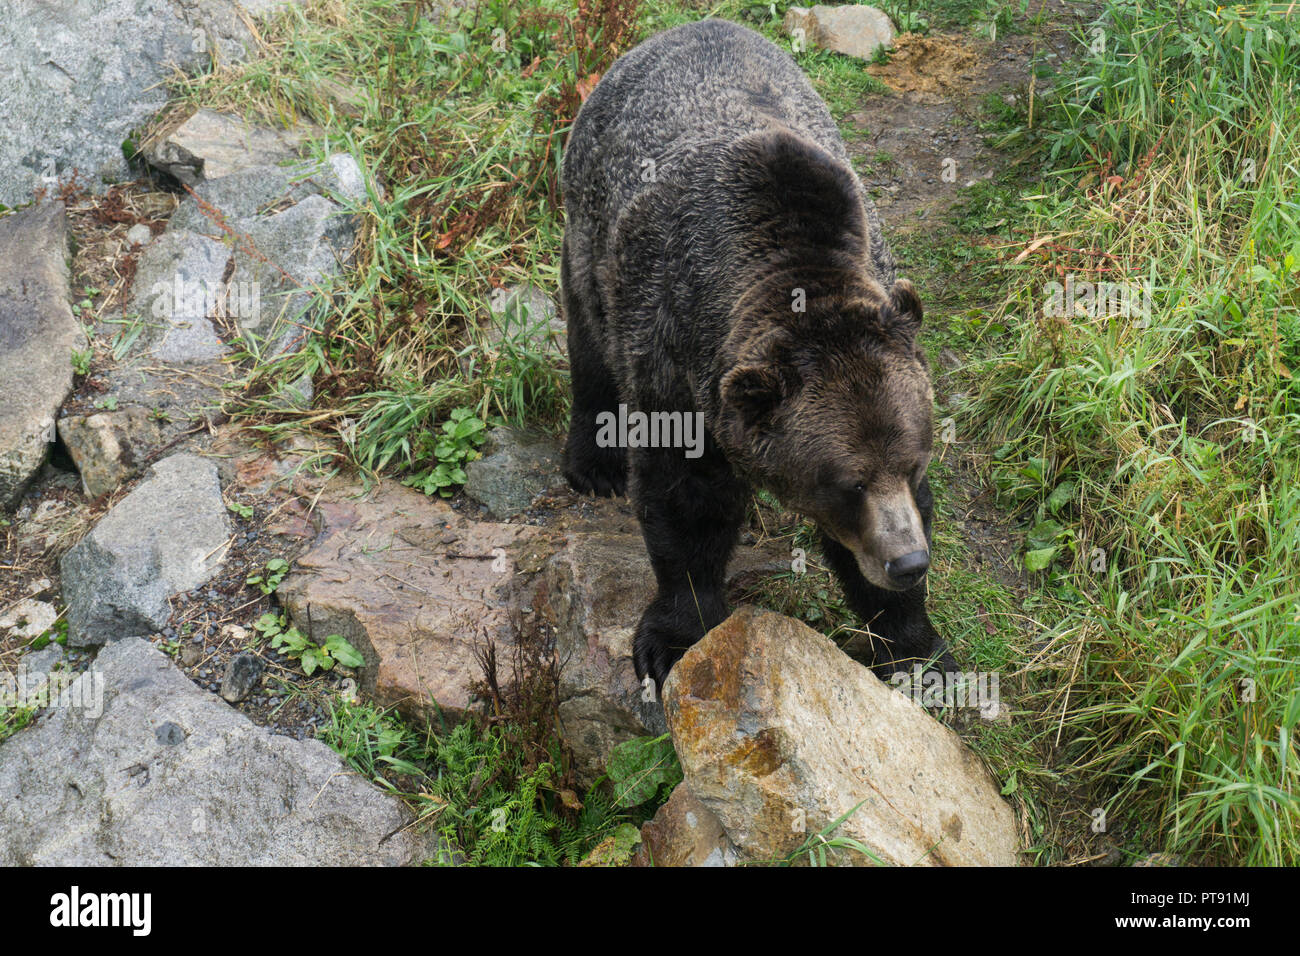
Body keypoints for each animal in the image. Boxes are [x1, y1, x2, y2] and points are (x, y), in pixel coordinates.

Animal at [559, 18, 958, 690]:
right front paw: (673, 637)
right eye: (848, 482)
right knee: (588, 339)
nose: (908, 561)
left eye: (913, 464)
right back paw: (594, 461)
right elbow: (686, 503)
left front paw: (919, 649)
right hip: (590, 233)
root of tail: (682, 28)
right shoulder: (673, 354)